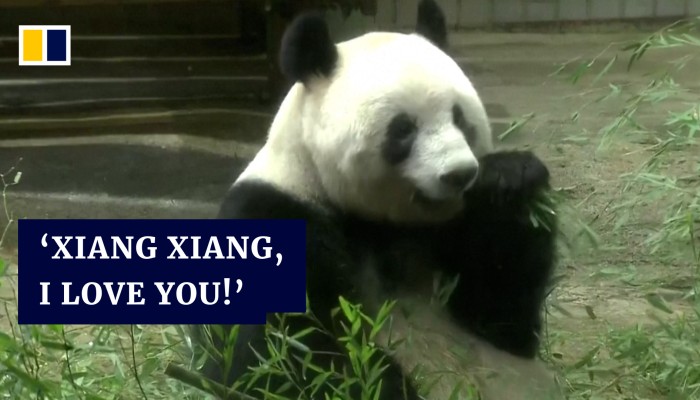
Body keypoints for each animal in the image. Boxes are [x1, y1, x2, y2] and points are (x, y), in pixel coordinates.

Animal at [189, 1, 563, 399]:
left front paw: (512, 177)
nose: (459, 174)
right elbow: (277, 353)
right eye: (403, 129)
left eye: (460, 118)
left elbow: (503, 319)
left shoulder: (450, 231)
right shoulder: (276, 212)